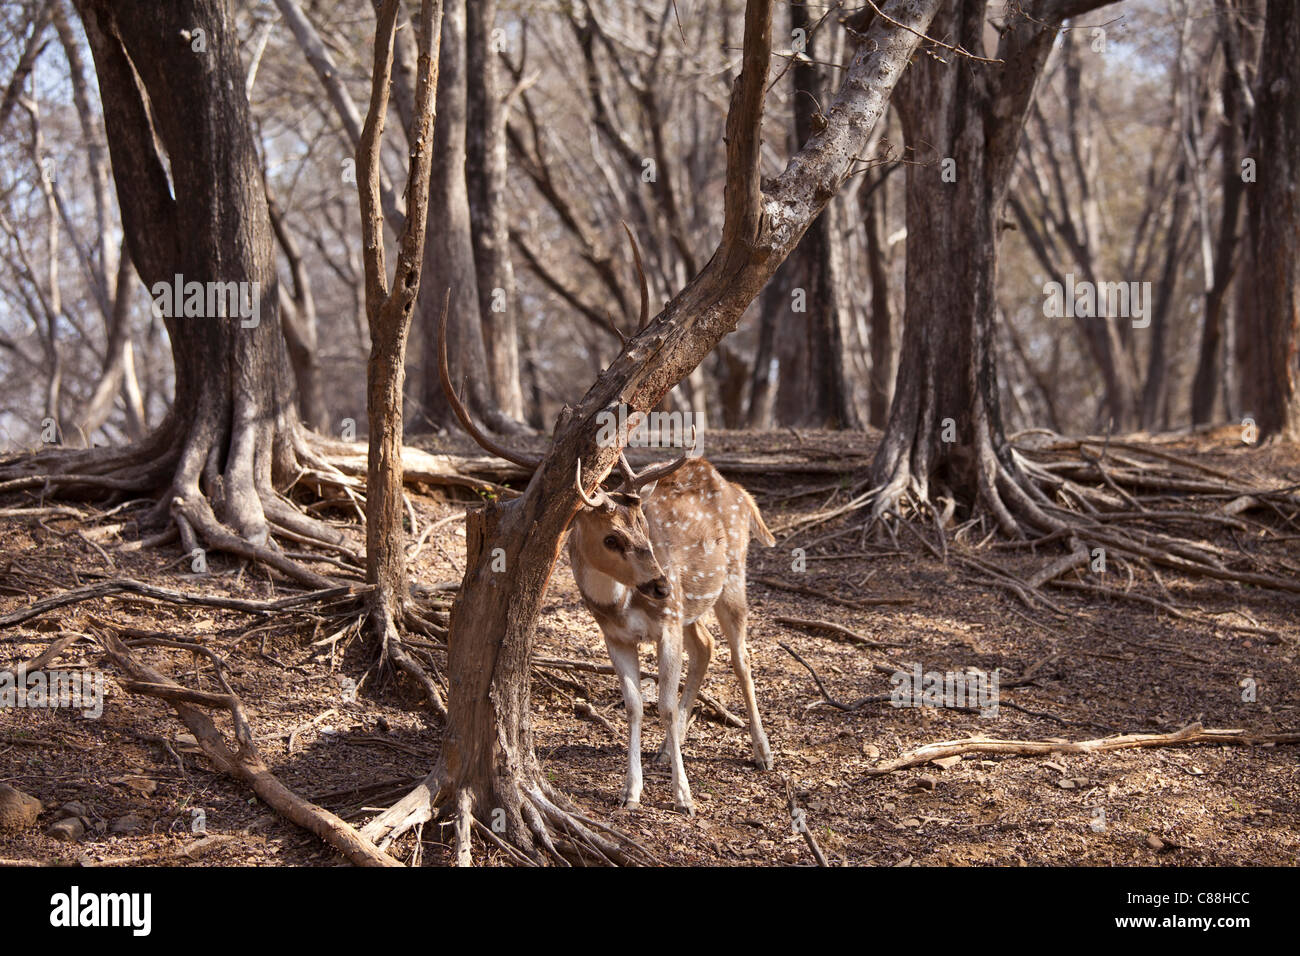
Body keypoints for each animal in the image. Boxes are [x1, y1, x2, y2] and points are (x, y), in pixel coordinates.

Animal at [435, 236, 775, 816]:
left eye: (643, 520)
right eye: (610, 536)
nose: (659, 583)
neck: (618, 602)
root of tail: (741, 493)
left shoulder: (666, 622)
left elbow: (662, 702)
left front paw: (684, 797)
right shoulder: (614, 635)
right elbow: (636, 705)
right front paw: (631, 791)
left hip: (731, 582)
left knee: (741, 656)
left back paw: (762, 752)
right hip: (696, 605)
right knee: (706, 646)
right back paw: (668, 750)